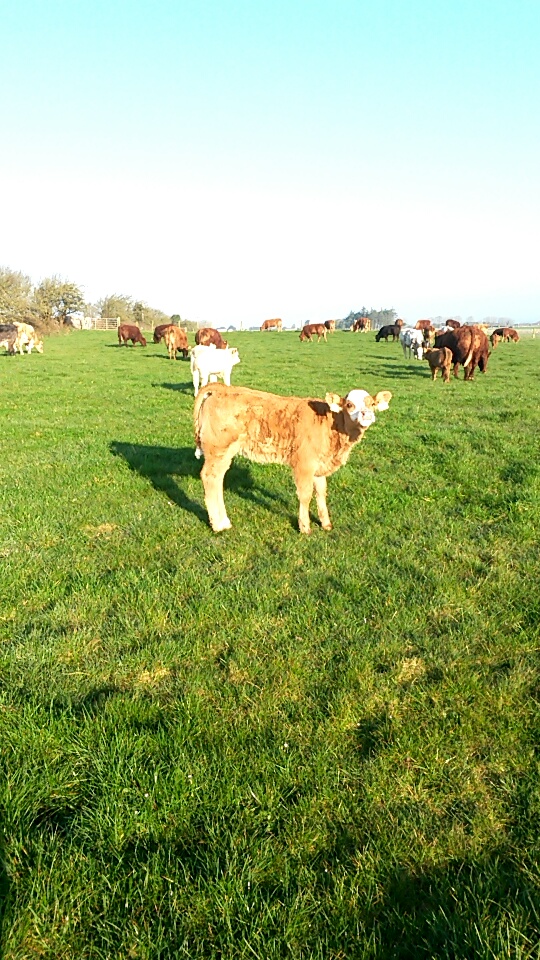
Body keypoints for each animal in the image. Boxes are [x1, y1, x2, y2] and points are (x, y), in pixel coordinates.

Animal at [194, 383, 392, 534]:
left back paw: (224, 521)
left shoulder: (319, 467)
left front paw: (326, 523)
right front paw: (305, 527)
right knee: (209, 478)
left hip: (224, 453)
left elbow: (321, 492)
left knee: (218, 479)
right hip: (217, 449)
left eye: (372, 403)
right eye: (349, 405)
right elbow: (305, 495)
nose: (367, 415)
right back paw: (218, 525)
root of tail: (222, 388)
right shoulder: (304, 464)